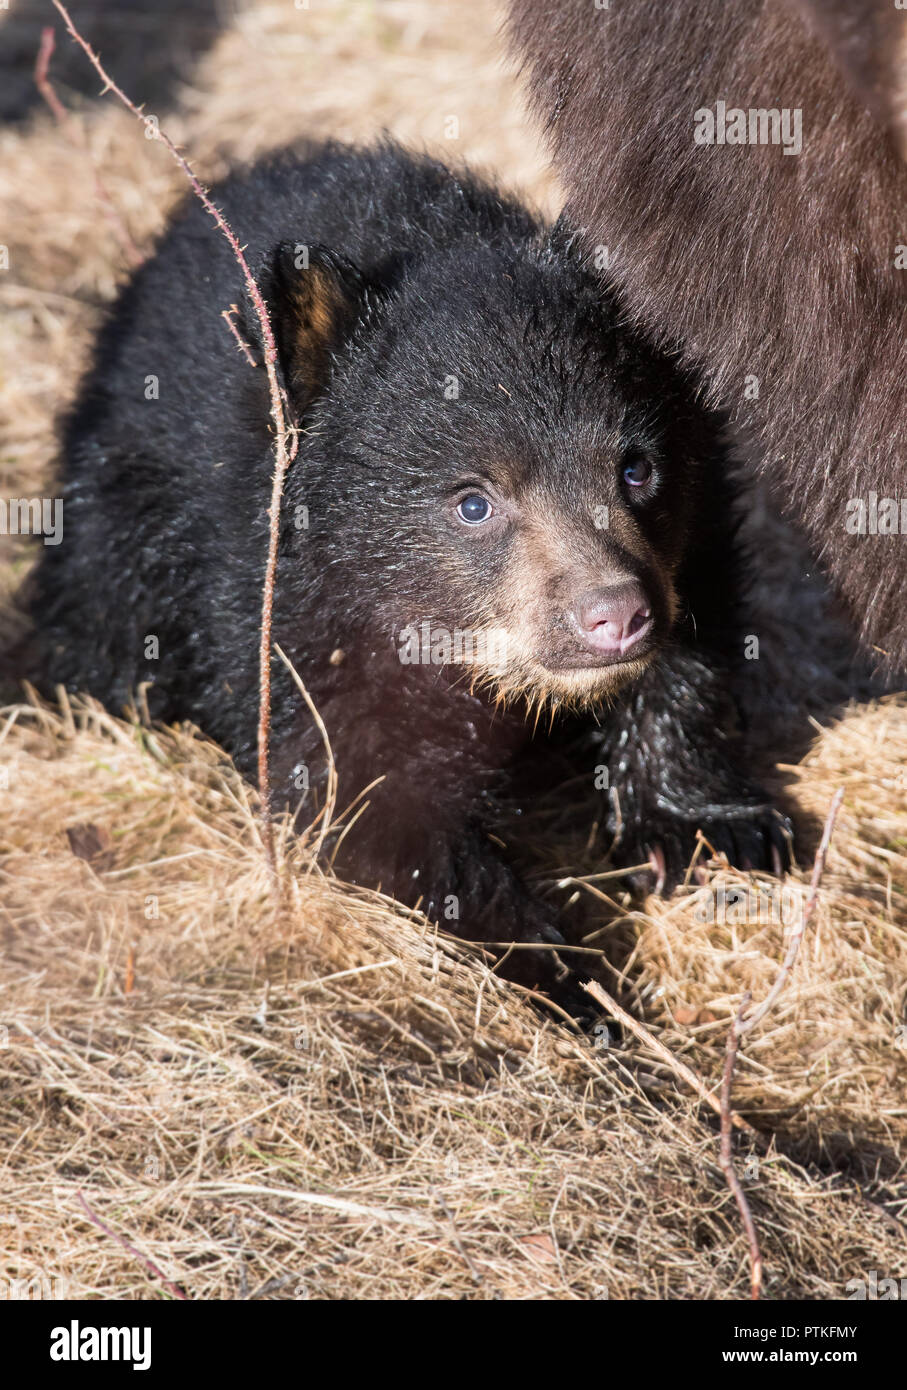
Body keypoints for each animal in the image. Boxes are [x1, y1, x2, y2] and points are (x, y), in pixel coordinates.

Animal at [27, 140, 790, 1001]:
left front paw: (711, 829)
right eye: (473, 502)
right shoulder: (281, 606)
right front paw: (563, 975)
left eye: (635, 468)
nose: (615, 616)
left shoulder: (693, 532)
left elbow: (693, 645)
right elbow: (360, 788)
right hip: (119, 537)